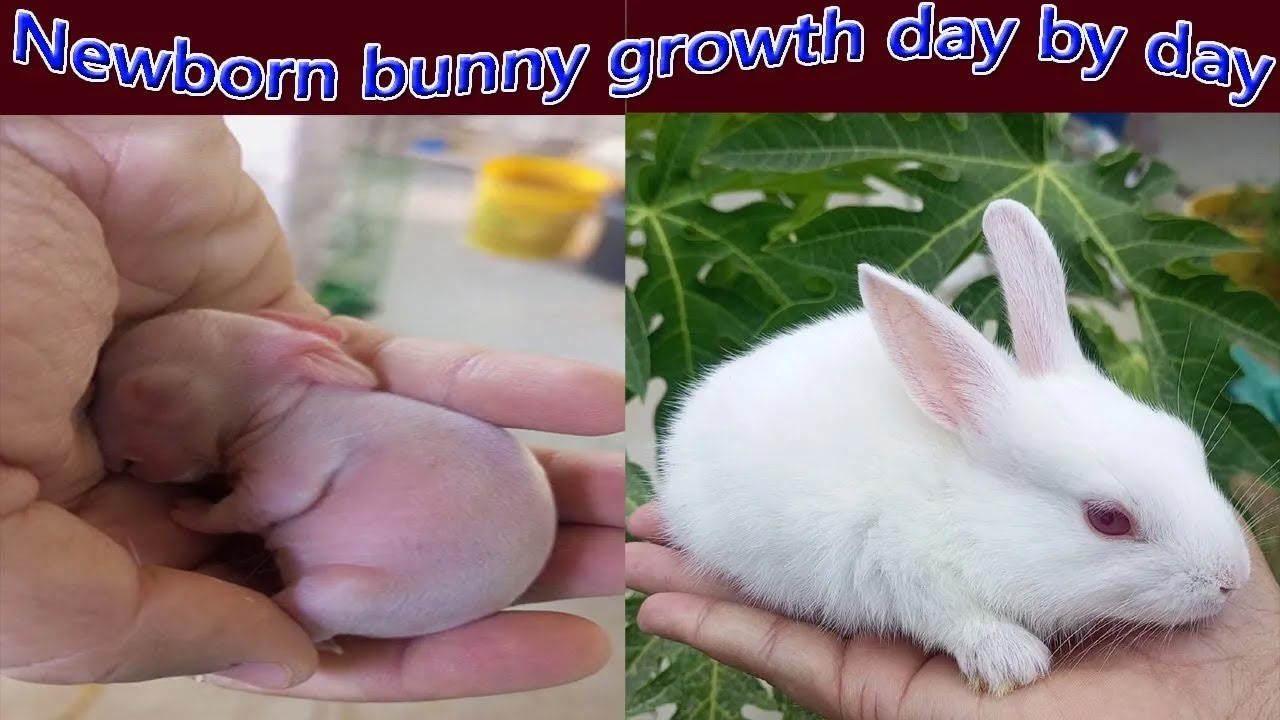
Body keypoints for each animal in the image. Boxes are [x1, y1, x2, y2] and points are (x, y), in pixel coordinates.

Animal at [650, 198, 1252, 695]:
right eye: (1108, 519)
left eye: (1186, 444)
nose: (1233, 580)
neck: (967, 502)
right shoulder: (902, 569)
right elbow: (957, 619)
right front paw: (1013, 662)